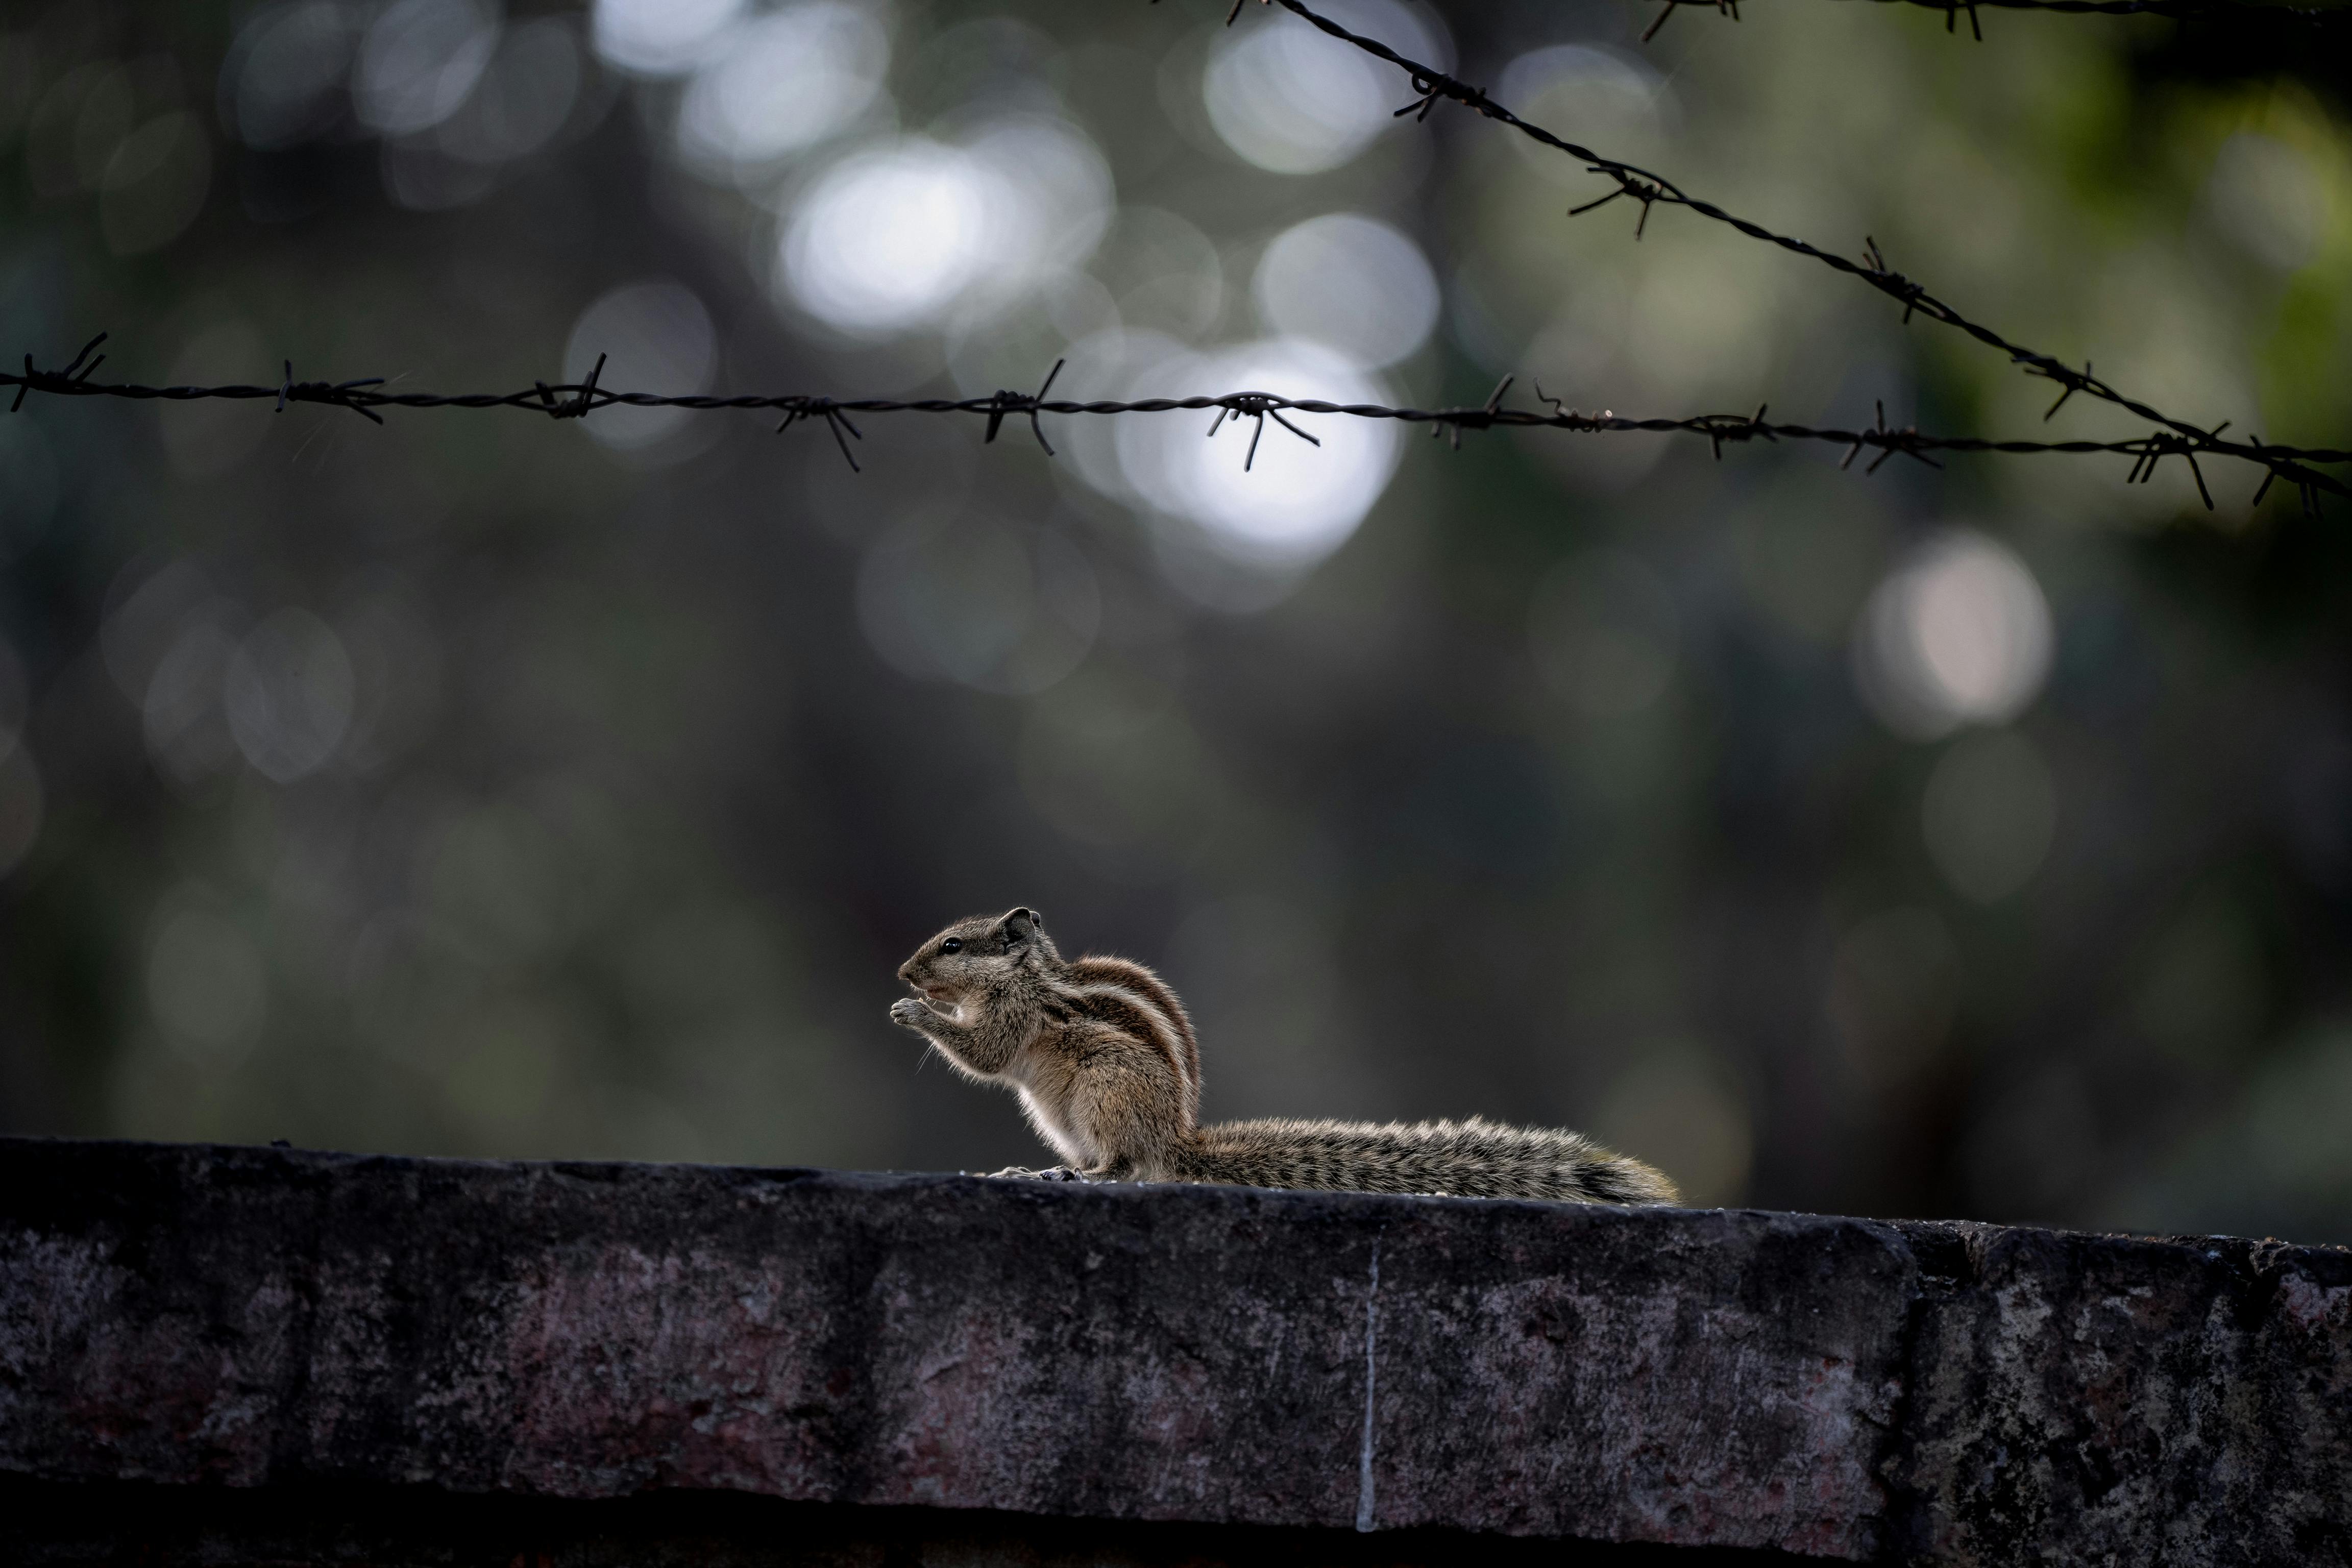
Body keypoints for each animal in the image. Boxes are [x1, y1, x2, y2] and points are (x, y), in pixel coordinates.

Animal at [888, 906, 1679, 1205]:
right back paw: (1038, 1169)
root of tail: (1176, 1138)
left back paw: (1077, 1175)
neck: (1025, 974)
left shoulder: (1016, 1014)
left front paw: (916, 1013)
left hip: (1106, 1089)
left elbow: (986, 1052)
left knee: (1125, 1167)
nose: (902, 974)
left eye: (951, 945)